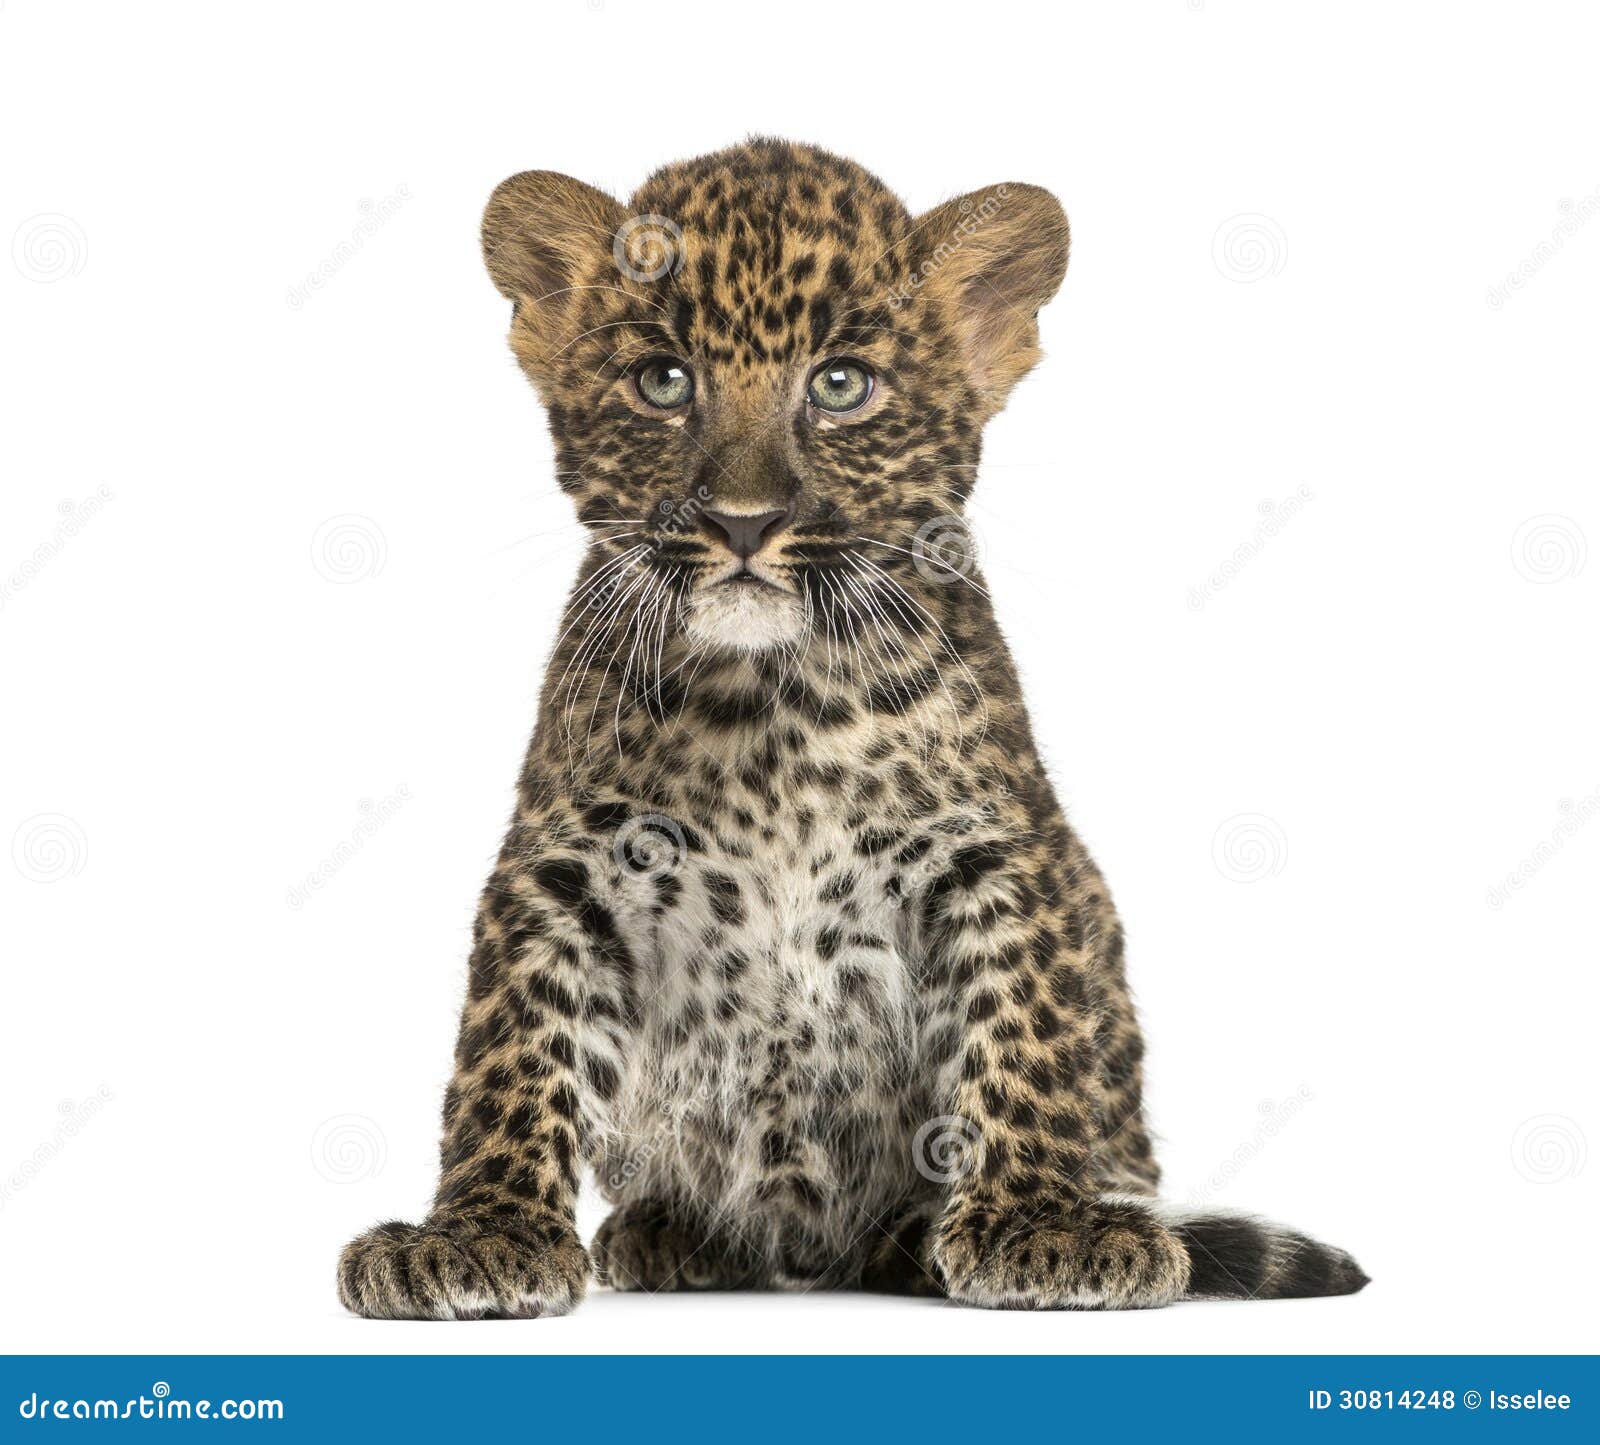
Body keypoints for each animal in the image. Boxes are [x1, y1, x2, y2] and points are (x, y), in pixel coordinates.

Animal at [336, 138, 1367, 1318]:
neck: (773, 703)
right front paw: (477, 1230)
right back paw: (672, 1231)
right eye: (663, 381)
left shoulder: (996, 850)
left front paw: (1041, 1223)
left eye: (840, 385)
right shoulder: (566, 865)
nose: (743, 522)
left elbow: (1024, 1022)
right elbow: (514, 1043)